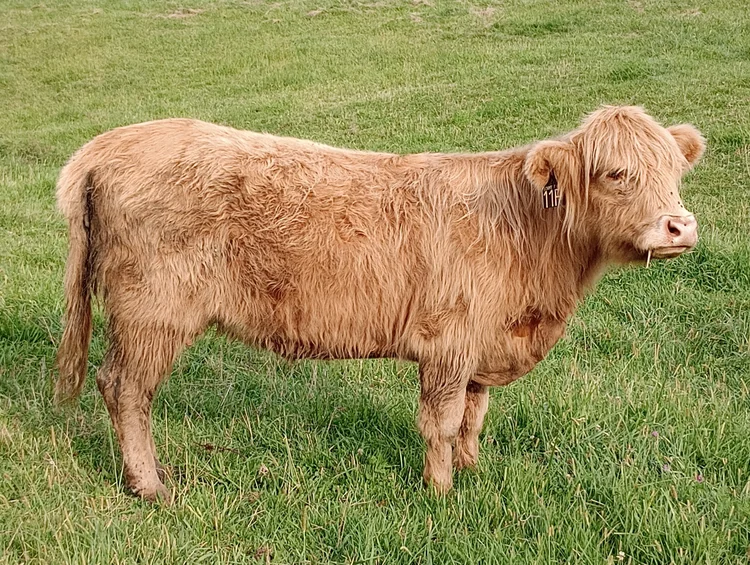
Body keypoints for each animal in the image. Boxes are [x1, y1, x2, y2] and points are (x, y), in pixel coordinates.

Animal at [54, 106, 705, 503]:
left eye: (675, 171)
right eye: (615, 173)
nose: (680, 226)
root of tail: (110, 145)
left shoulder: (481, 347)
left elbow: (474, 416)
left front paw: (473, 469)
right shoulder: (447, 344)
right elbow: (441, 423)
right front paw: (441, 491)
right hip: (153, 313)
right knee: (125, 388)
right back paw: (149, 486)